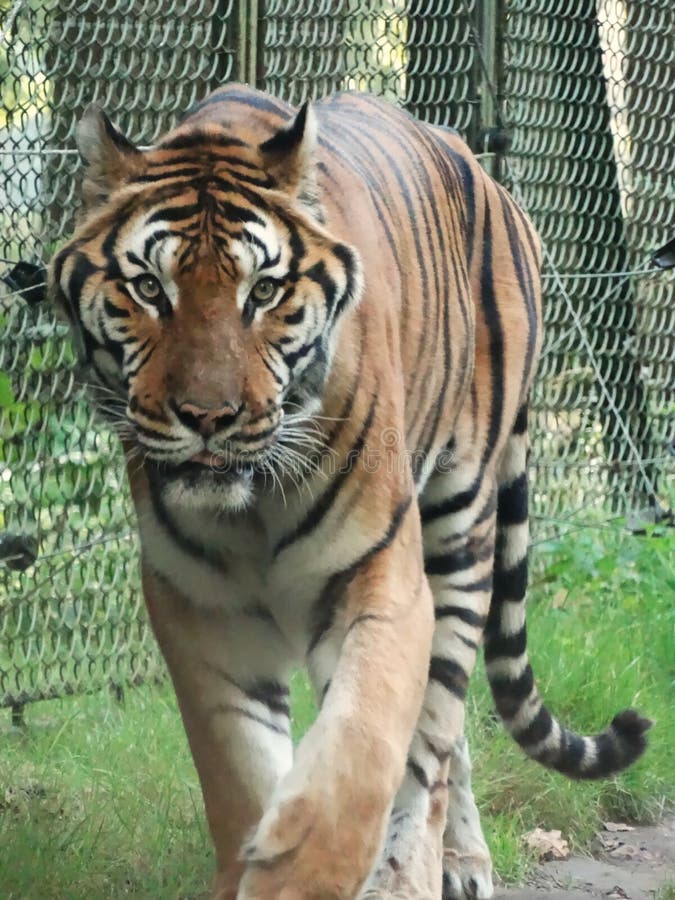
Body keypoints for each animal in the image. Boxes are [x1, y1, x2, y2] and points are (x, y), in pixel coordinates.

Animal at [48, 83, 650, 900]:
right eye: (149, 289)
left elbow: (362, 752)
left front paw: (306, 870)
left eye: (263, 291)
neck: (250, 506)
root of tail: (484, 171)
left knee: (434, 735)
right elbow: (239, 772)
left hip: (459, 526)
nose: (208, 417)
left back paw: (432, 868)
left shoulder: (381, 579)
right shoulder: (201, 610)